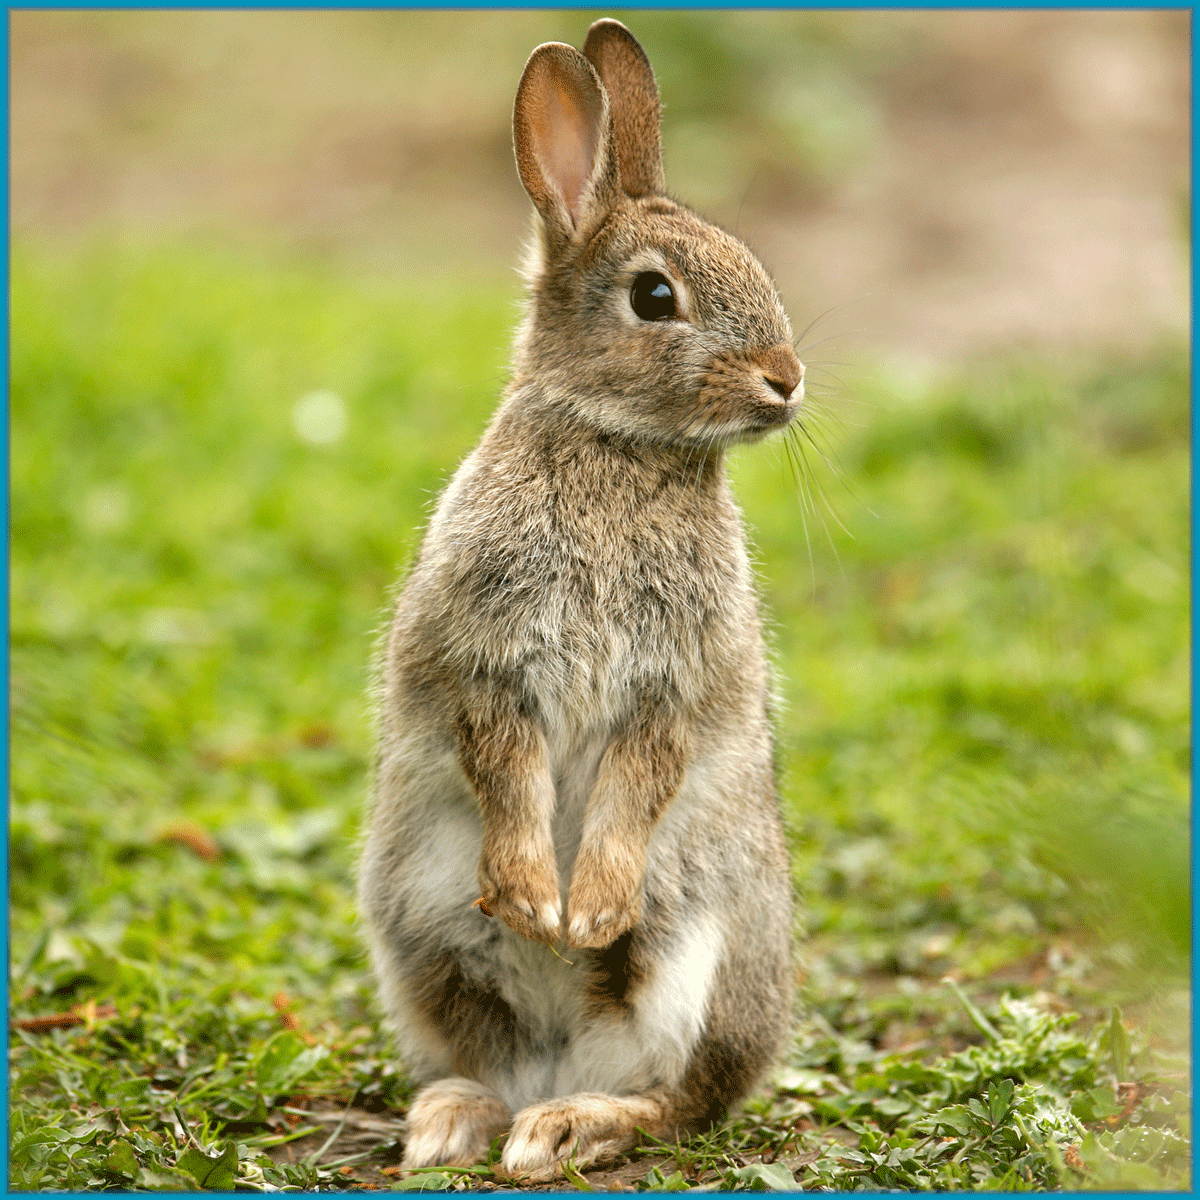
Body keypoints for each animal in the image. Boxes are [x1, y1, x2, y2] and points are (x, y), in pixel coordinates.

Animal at [358, 19, 803, 1183]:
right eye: (655, 297)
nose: (786, 377)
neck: (619, 444)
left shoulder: (671, 686)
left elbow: (640, 780)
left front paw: (588, 910)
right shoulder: (484, 662)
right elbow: (503, 763)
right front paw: (535, 899)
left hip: (695, 957)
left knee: (676, 1102)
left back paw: (568, 1124)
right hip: (423, 937)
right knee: (487, 1058)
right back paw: (460, 1123)